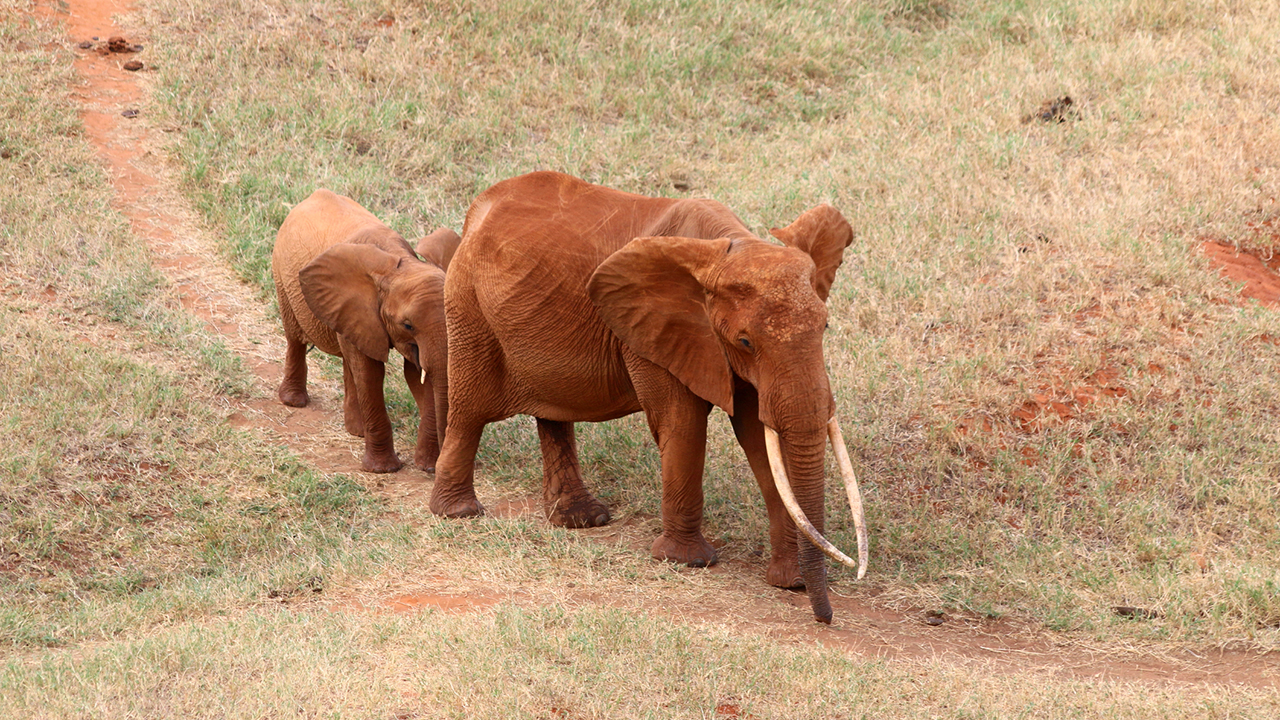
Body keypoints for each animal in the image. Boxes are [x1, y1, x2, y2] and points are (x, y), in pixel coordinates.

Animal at [271, 188, 460, 473]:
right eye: (407, 325)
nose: (434, 469)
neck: (402, 264)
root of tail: (312, 195)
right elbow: (371, 373)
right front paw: (384, 470)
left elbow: (416, 376)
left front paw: (426, 465)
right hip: (282, 274)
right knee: (295, 337)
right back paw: (294, 401)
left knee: (349, 362)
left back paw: (356, 431)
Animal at [429, 171, 867, 624]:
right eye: (745, 341)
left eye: (825, 326)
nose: (825, 617)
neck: (728, 246)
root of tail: (477, 211)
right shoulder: (653, 333)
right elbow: (682, 422)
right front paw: (686, 561)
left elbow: (759, 439)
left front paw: (789, 582)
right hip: (467, 305)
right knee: (469, 410)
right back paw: (458, 512)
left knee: (551, 413)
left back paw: (581, 520)